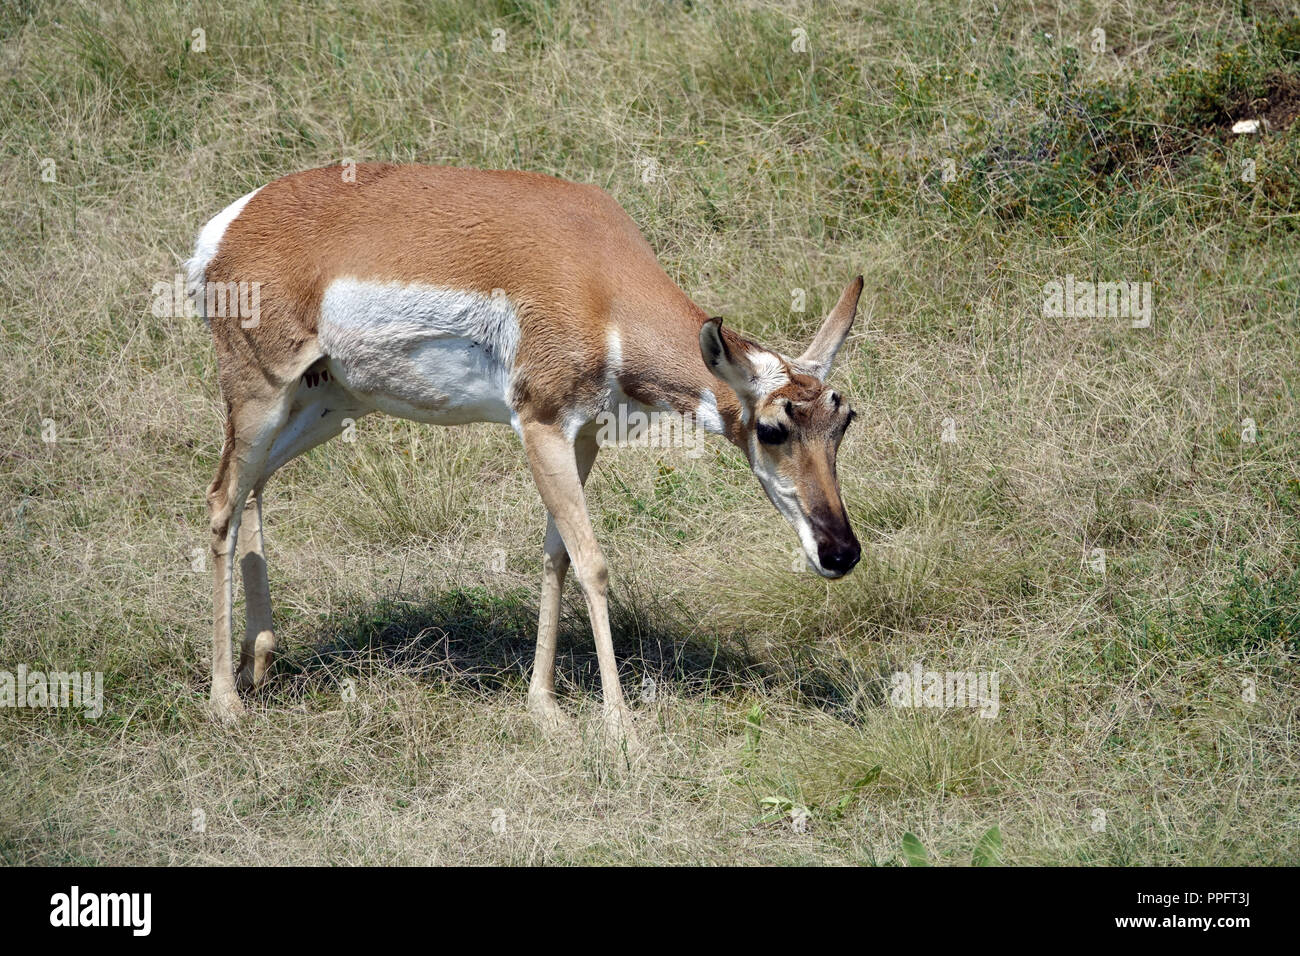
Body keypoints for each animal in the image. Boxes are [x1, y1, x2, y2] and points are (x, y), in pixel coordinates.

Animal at [189, 163, 863, 739]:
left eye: (845, 419)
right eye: (773, 428)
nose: (842, 553)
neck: (600, 281)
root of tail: (232, 222)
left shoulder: (582, 438)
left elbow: (556, 557)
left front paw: (545, 707)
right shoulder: (539, 427)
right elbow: (593, 563)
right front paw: (621, 726)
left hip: (327, 406)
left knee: (253, 486)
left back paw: (261, 661)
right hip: (259, 396)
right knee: (221, 498)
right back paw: (226, 700)